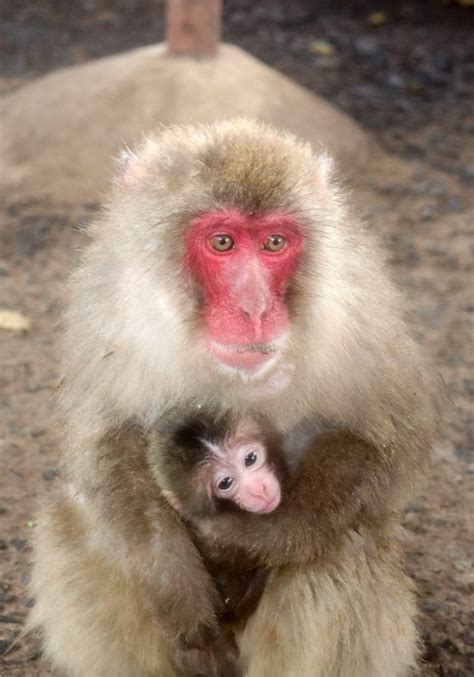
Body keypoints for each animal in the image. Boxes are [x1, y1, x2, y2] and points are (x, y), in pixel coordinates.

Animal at [29, 118, 440, 677]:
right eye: (222, 242)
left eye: (274, 242)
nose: (255, 309)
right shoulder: (108, 299)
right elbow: (106, 437)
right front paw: (174, 580)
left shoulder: (361, 308)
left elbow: (382, 447)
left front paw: (246, 539)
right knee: (69, 522)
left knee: (341, 551)